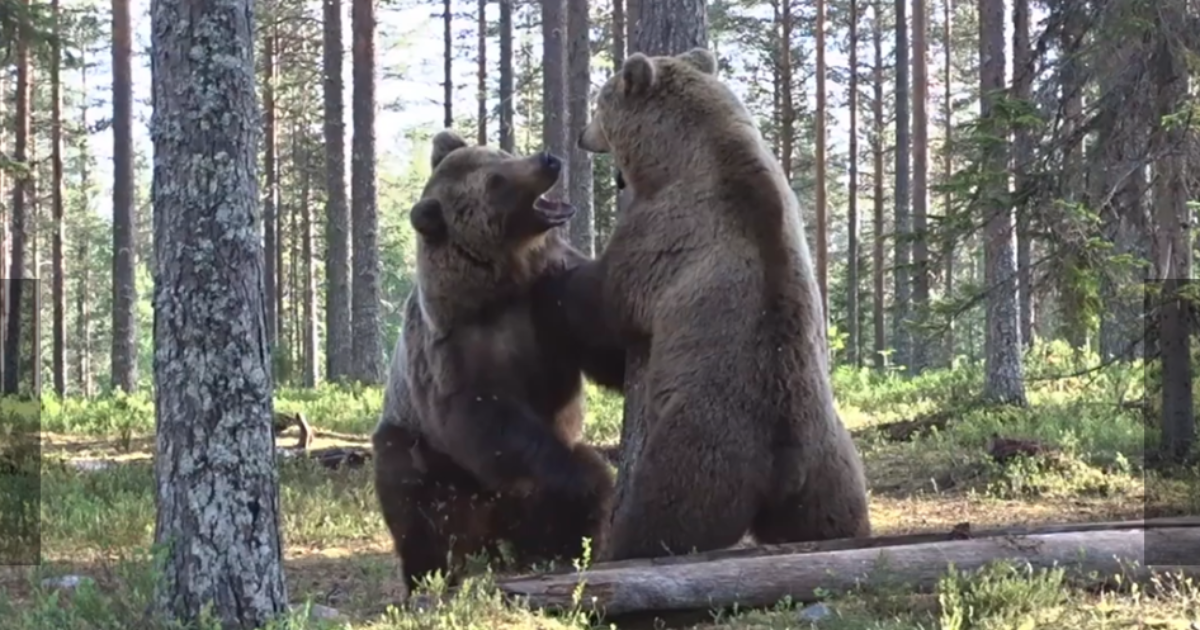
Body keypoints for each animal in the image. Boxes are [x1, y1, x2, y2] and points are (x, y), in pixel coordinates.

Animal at [371, 130, 625, 594]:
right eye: (496, 181)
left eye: (502, 153)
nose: (549, 160)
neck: (504, 284)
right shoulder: (457, 351)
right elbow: (489, 420)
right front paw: (590, 481)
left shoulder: (550, 302)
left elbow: (607, 345)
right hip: (425, 459)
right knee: (419, 511)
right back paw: (431, 573)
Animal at [556, 47, 872, 562]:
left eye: (600, 101)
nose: (583, 135)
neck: (679, 154)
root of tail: (784, 464)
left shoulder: (664, 235)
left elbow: (609, 309)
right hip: (833, 467)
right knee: (835, 518)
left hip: (701, 449)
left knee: (662, 518)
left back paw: (621, 548)